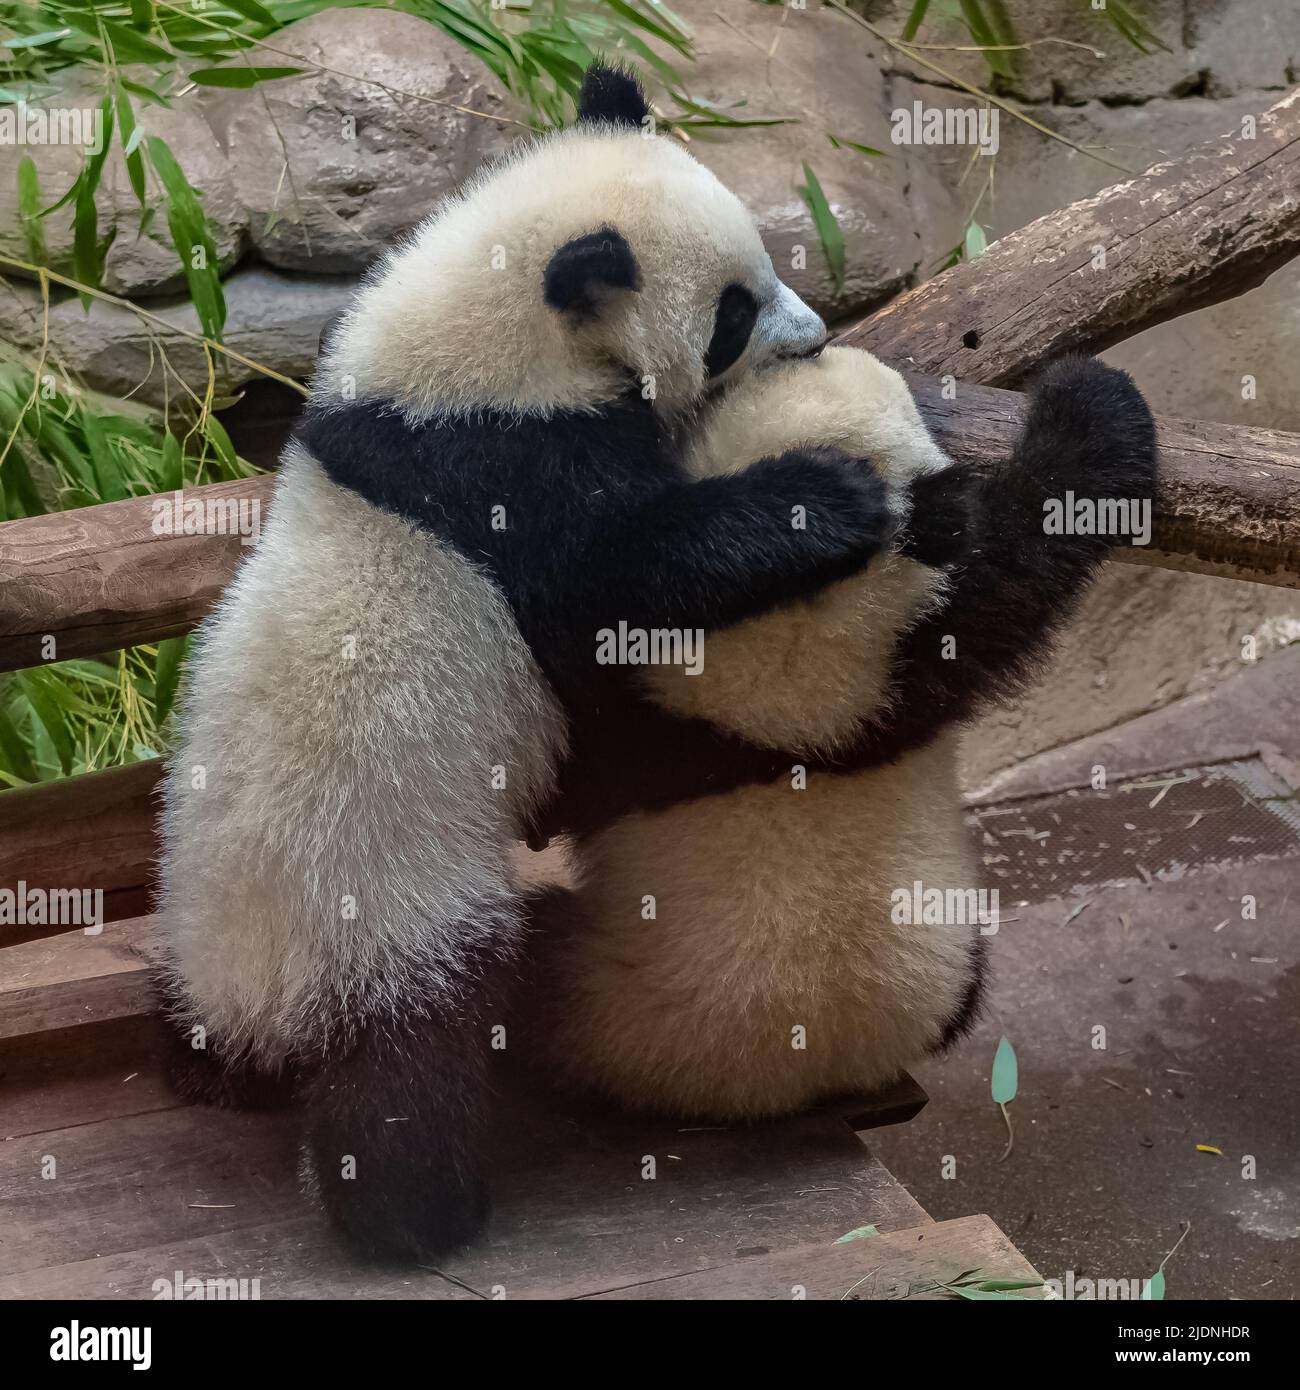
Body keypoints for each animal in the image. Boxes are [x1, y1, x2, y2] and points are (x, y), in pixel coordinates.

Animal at [156, 64, 901, 1263]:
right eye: (733, 314)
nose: (815, 330)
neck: (473, 345)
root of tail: (256, 995)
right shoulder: (507, 468)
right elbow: (623, 575)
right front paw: (825, 496)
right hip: (390, 905)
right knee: (410, 1067)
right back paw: (419, 1219)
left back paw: (210, 1069)